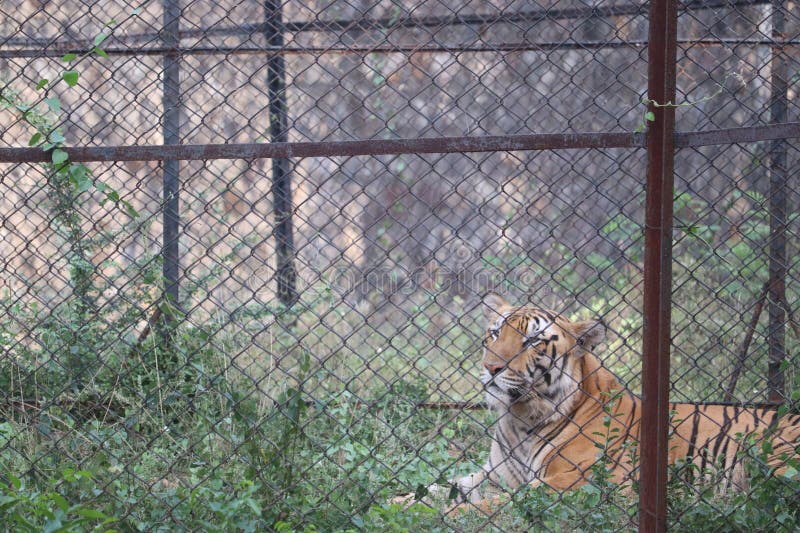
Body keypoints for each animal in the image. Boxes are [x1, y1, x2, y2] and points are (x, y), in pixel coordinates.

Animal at [396, 293, 800, 514]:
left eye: (531, 342)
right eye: (495, 333)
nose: (491, 368)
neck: (520, 418)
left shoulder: (570, 484)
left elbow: (482, 508)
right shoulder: (492, 476)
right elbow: (432, 489)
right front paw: (396, 502)